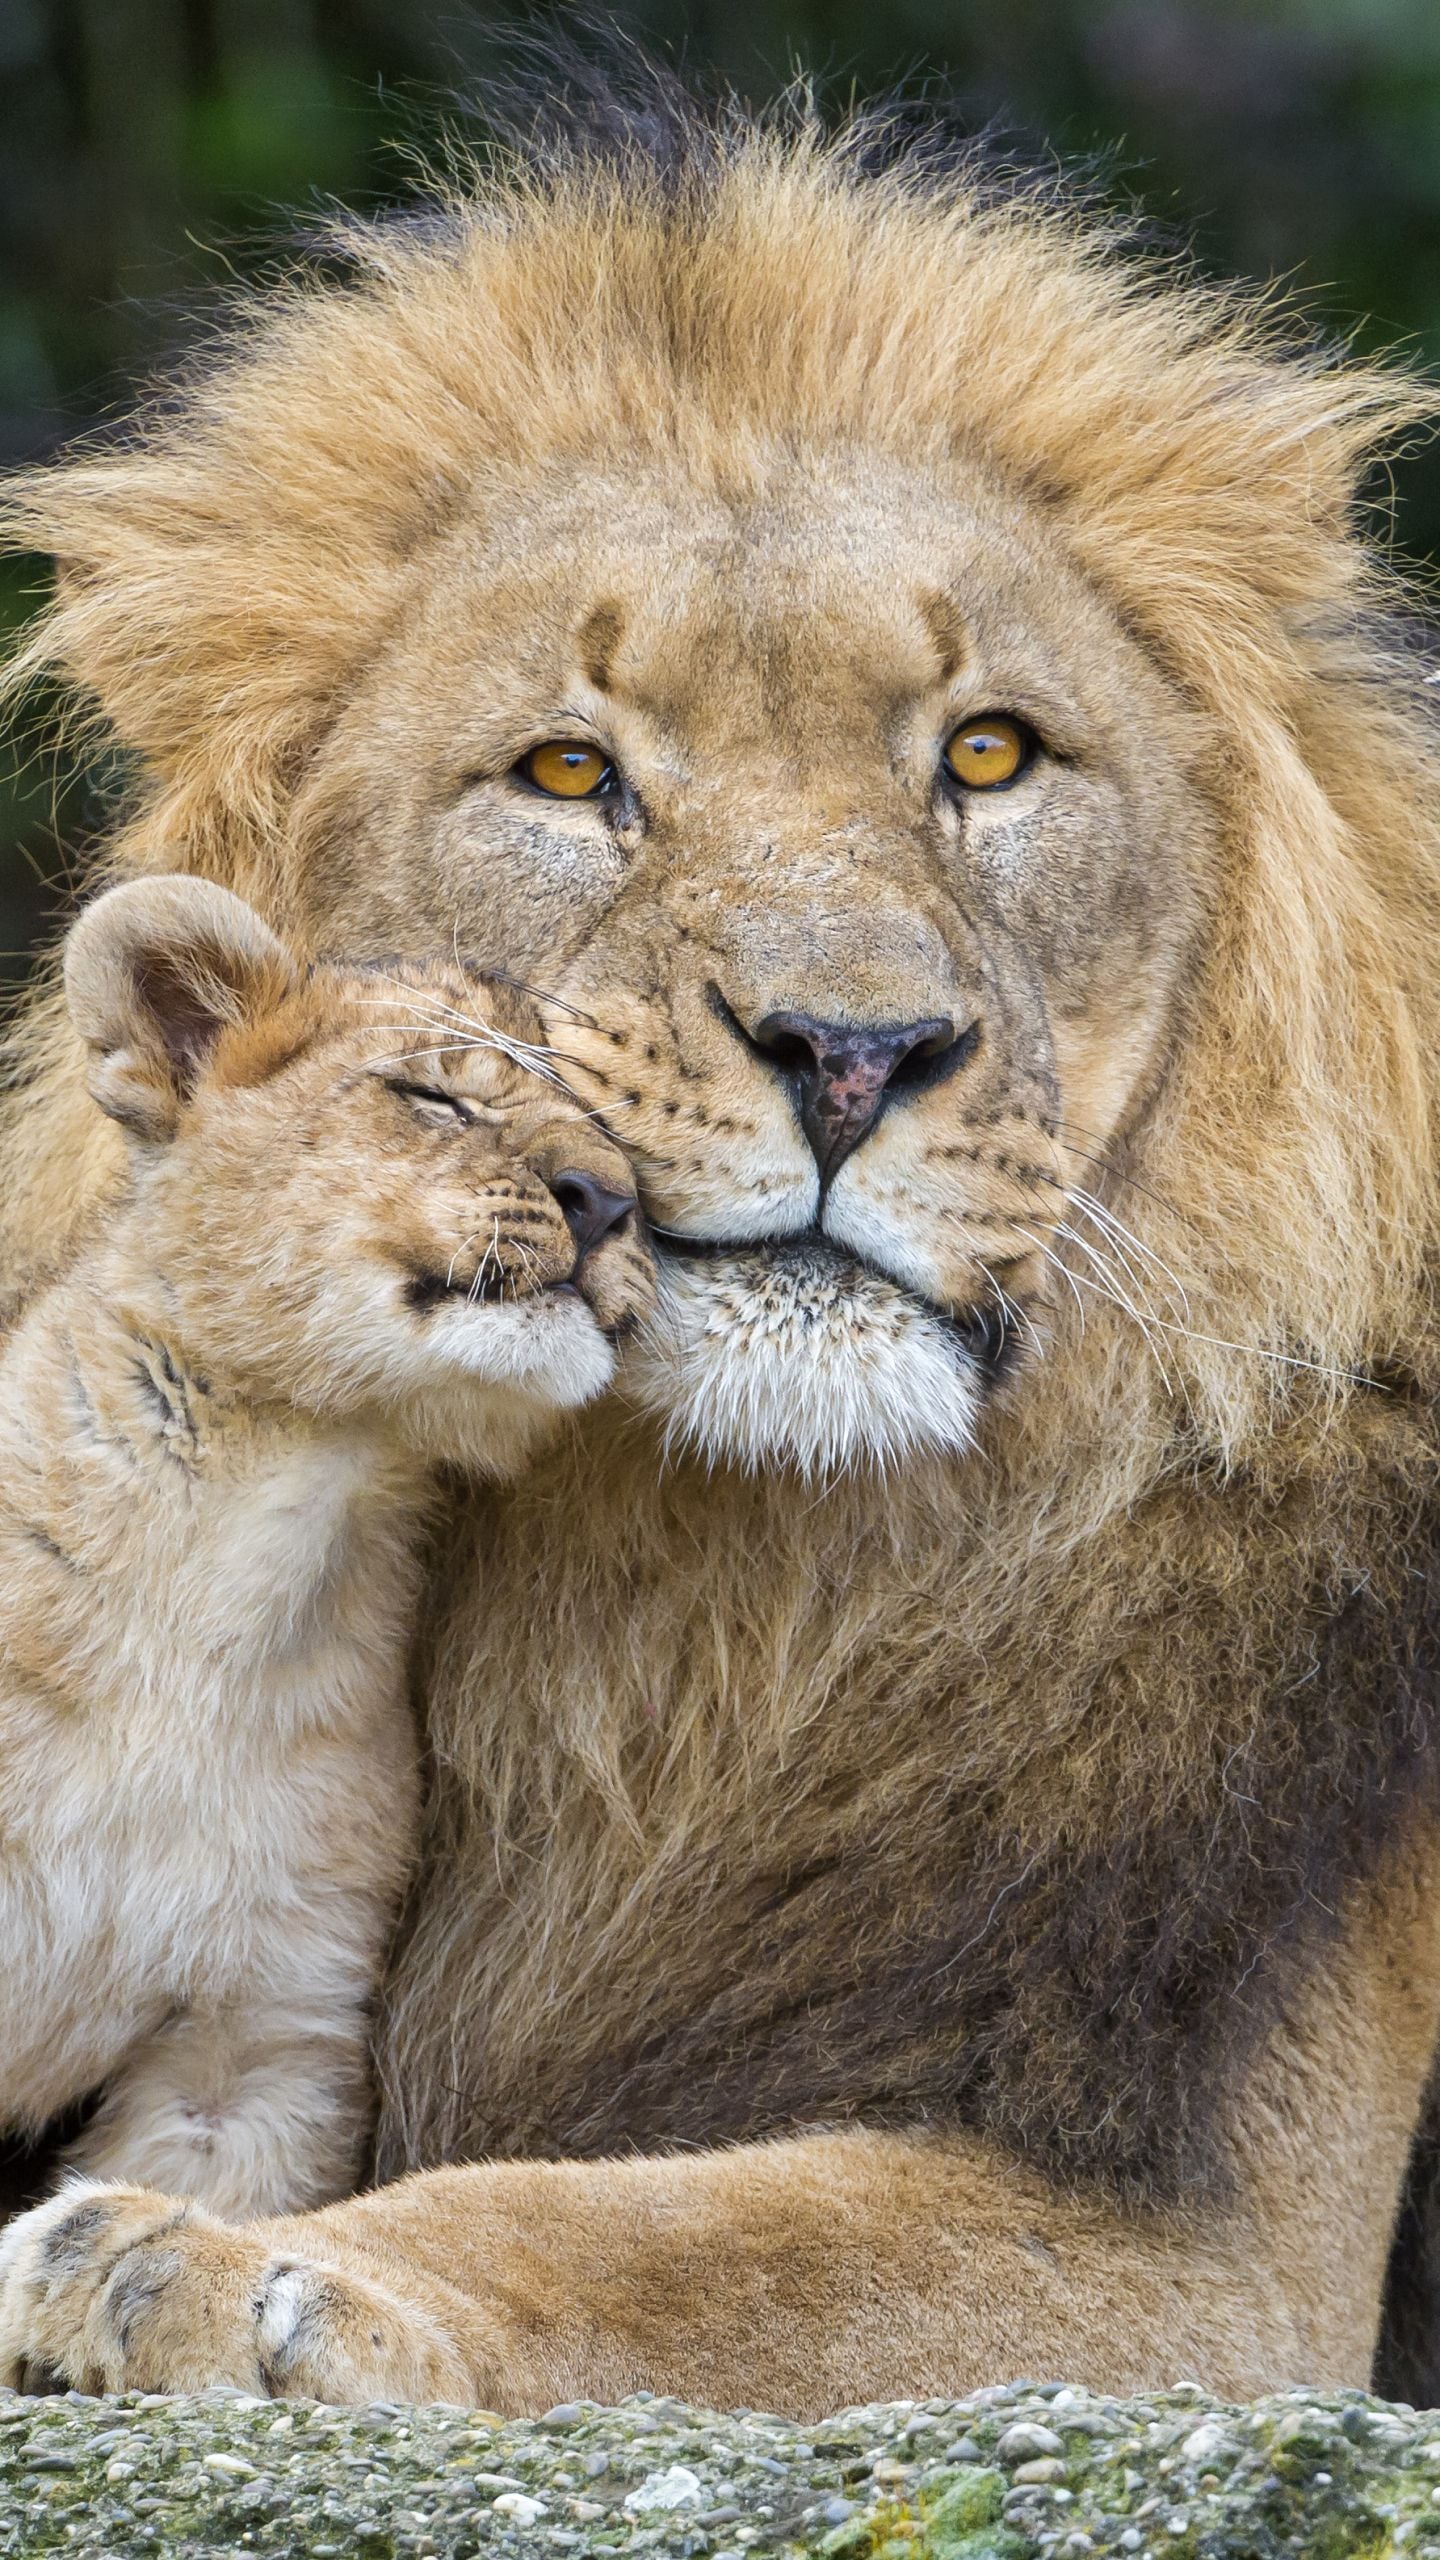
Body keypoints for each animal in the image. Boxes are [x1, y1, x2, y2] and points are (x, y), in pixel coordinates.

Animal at [1, 58, 1439, 2414]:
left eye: (989, 752)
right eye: (571, 772)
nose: (852, 1050)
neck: (708, 1606)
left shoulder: (1236, 2274)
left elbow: (677, 2236)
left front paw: (235, 2264)